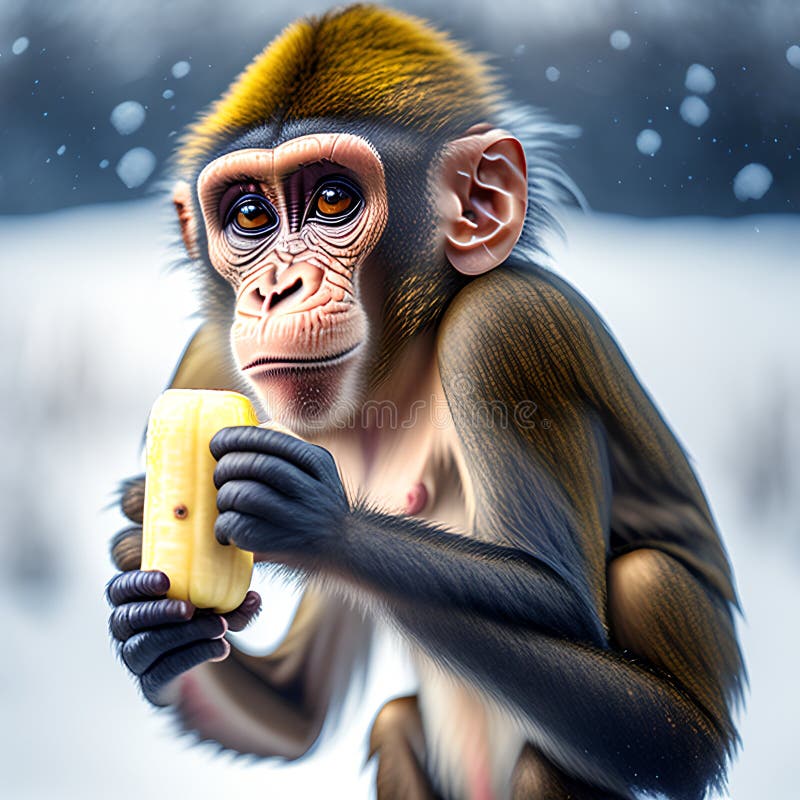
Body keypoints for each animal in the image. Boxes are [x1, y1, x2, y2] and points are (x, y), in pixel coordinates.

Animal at [106, 6, 745, 799]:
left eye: (333, 199)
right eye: (250, 215)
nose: (275, 289)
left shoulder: (507, 327)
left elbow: (558, 596)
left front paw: (312, 520)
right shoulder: (204, 359)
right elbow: (297, 708)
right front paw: (144, 604)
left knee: (636, 624)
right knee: (391, 721)